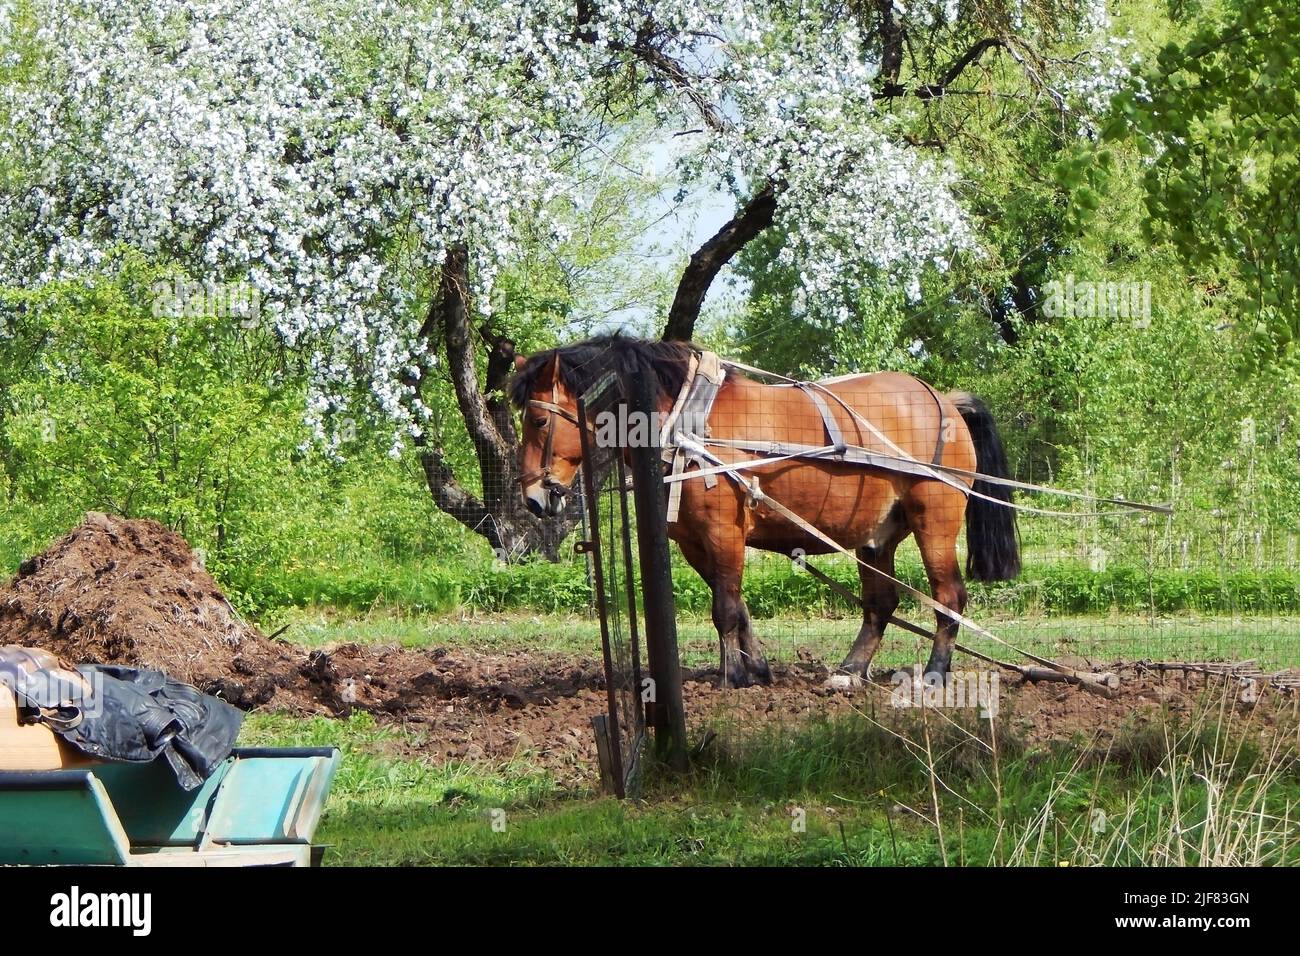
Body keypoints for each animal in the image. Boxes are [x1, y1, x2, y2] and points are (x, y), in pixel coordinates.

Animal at [511, 335, 1020, 688]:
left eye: (538, 420)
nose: (533, 497)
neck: (685, 422)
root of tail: (944, 401)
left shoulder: (723, 529)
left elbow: (724, 608)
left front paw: (731, 677)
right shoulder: (695, 541)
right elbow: (736, 604)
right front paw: (755, 667)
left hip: (935, 521)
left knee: (949, 598)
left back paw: (934, 673)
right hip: (876, 536)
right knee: (881, 604)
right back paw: (849, 671)